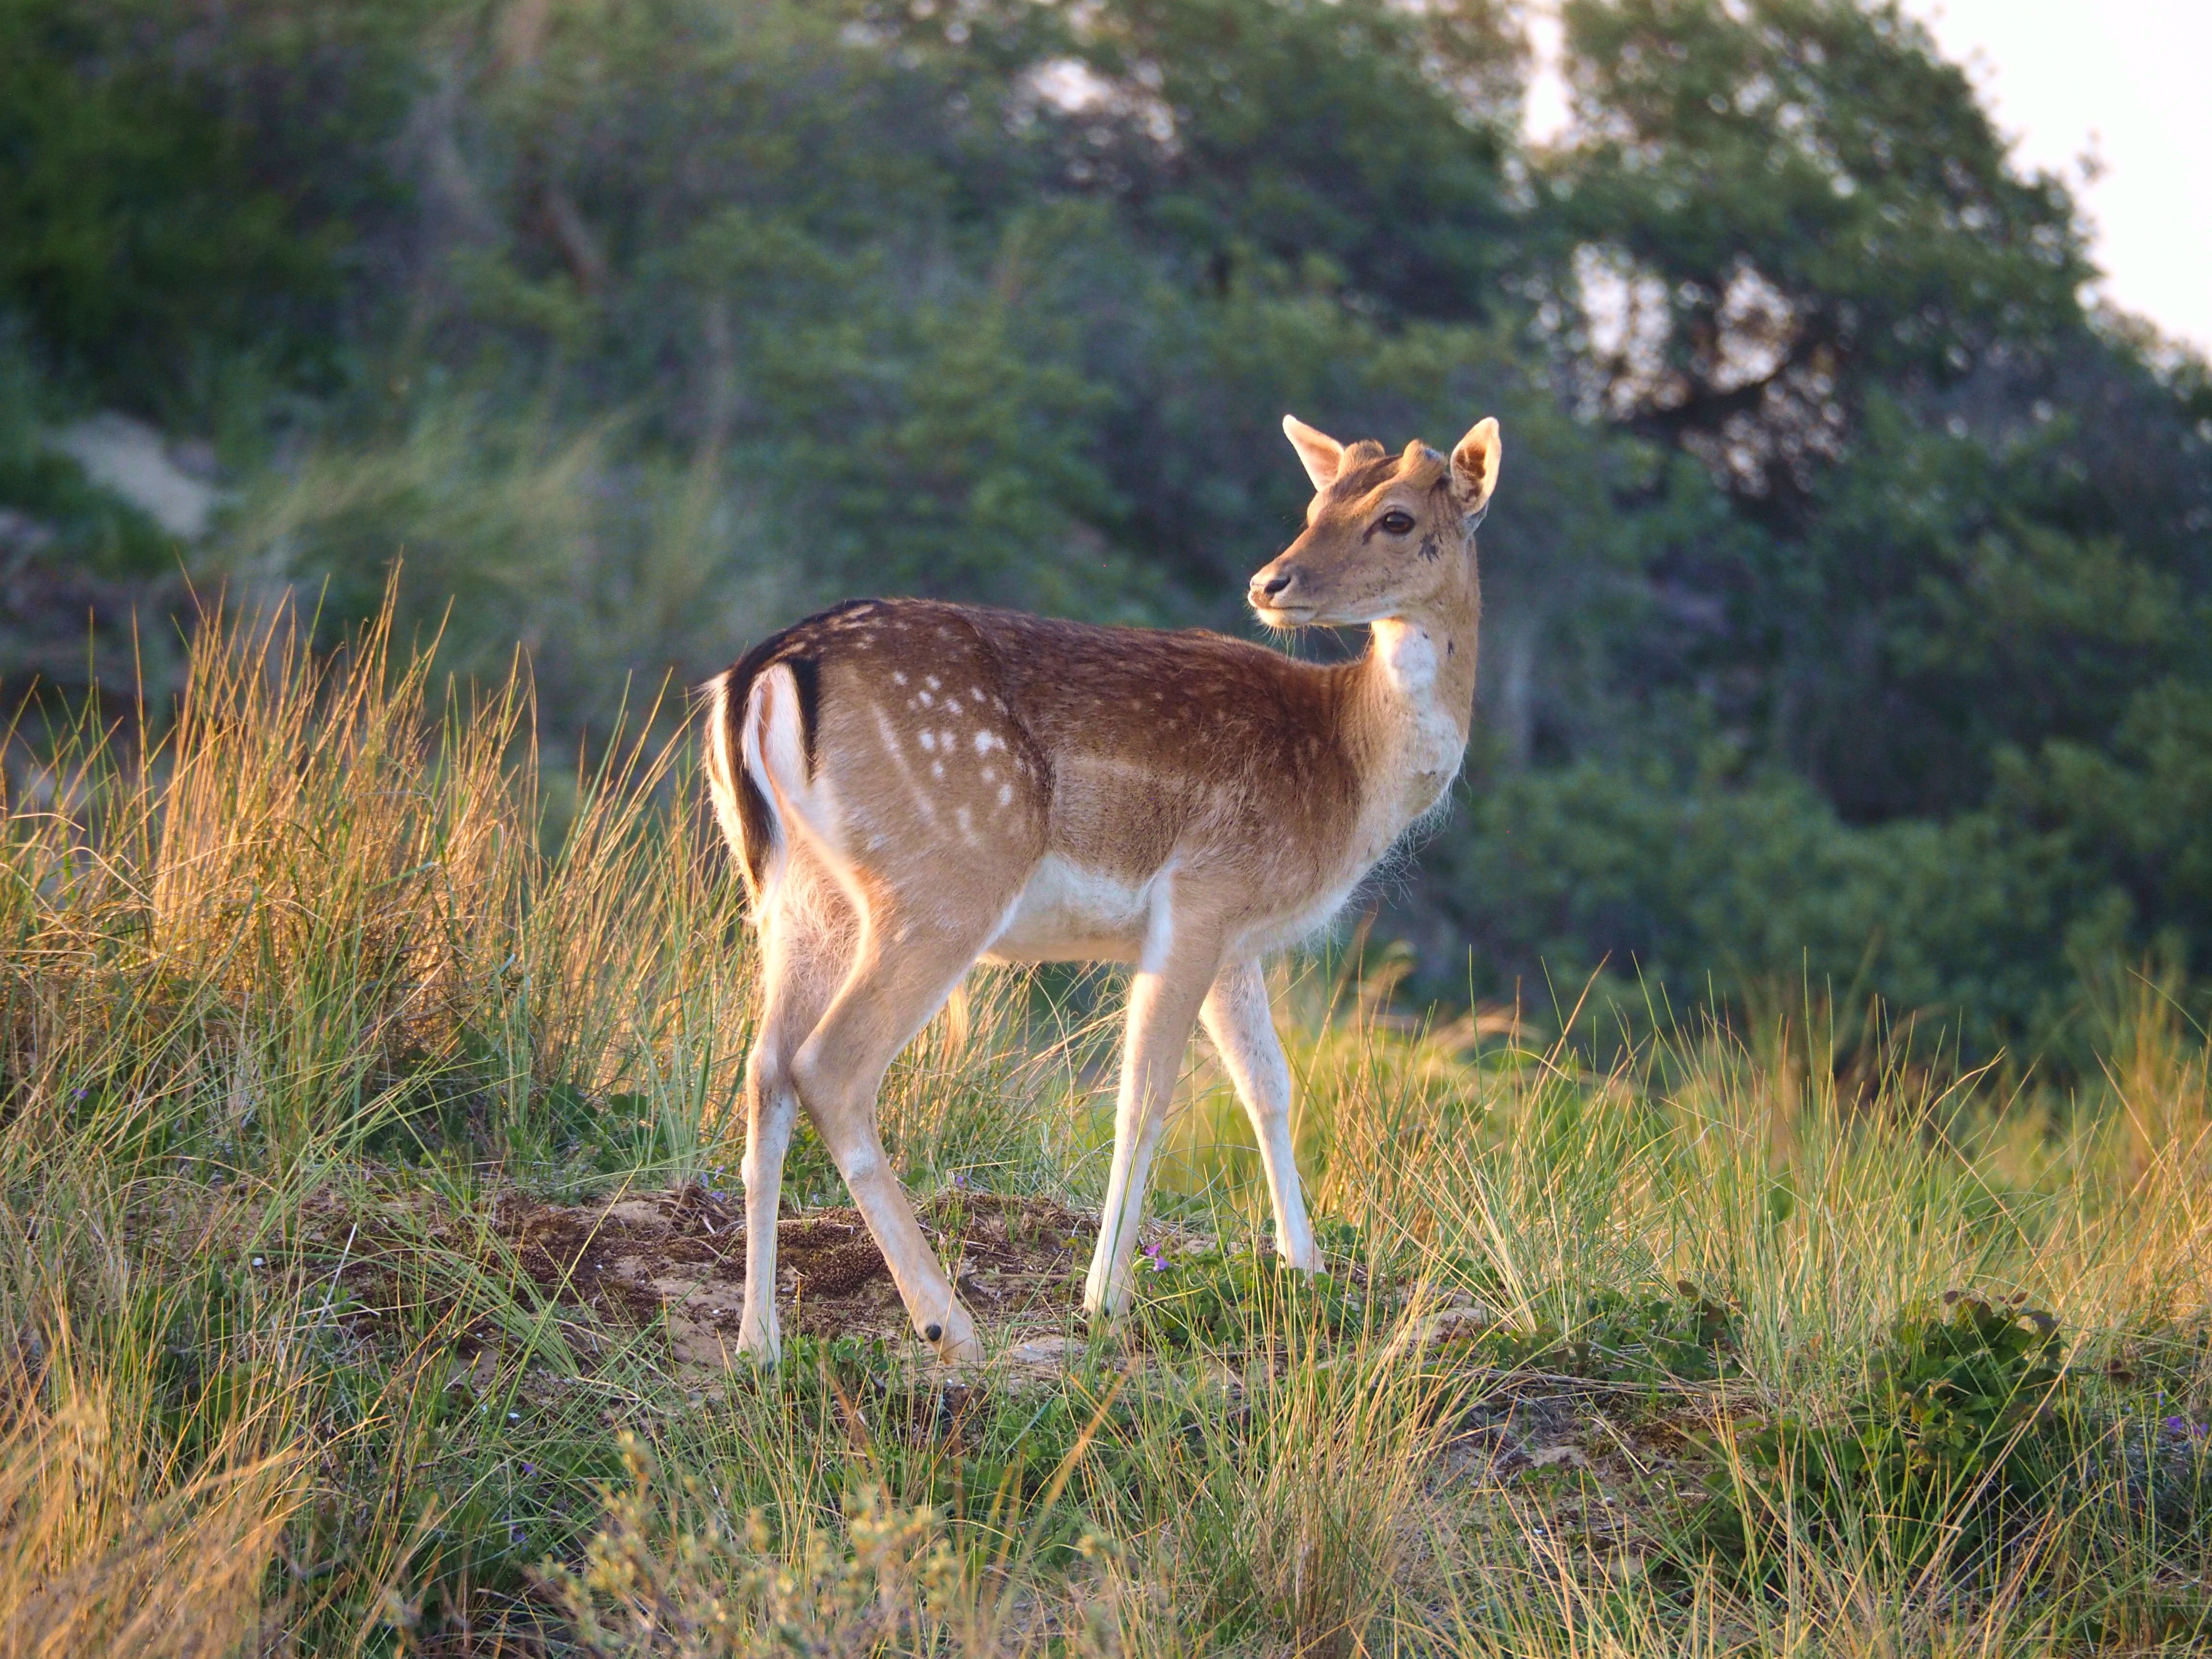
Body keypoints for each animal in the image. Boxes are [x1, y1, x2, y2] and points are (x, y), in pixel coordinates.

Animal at [700, 413, 1500, 1363]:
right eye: (1317, 505)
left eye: (1394, 518)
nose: (1270, 582)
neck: (1352, 772)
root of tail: (757, 675)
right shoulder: (1201, 895)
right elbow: (1145, 1095)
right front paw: (1104, 1298)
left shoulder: (1238, 937)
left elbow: (1268, 1085)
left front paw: (1303, 1268)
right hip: (947, 876)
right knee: (830, 1066)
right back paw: (949, 1323)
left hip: (796, 891)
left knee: (765, 1069)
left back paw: (759, 1343)